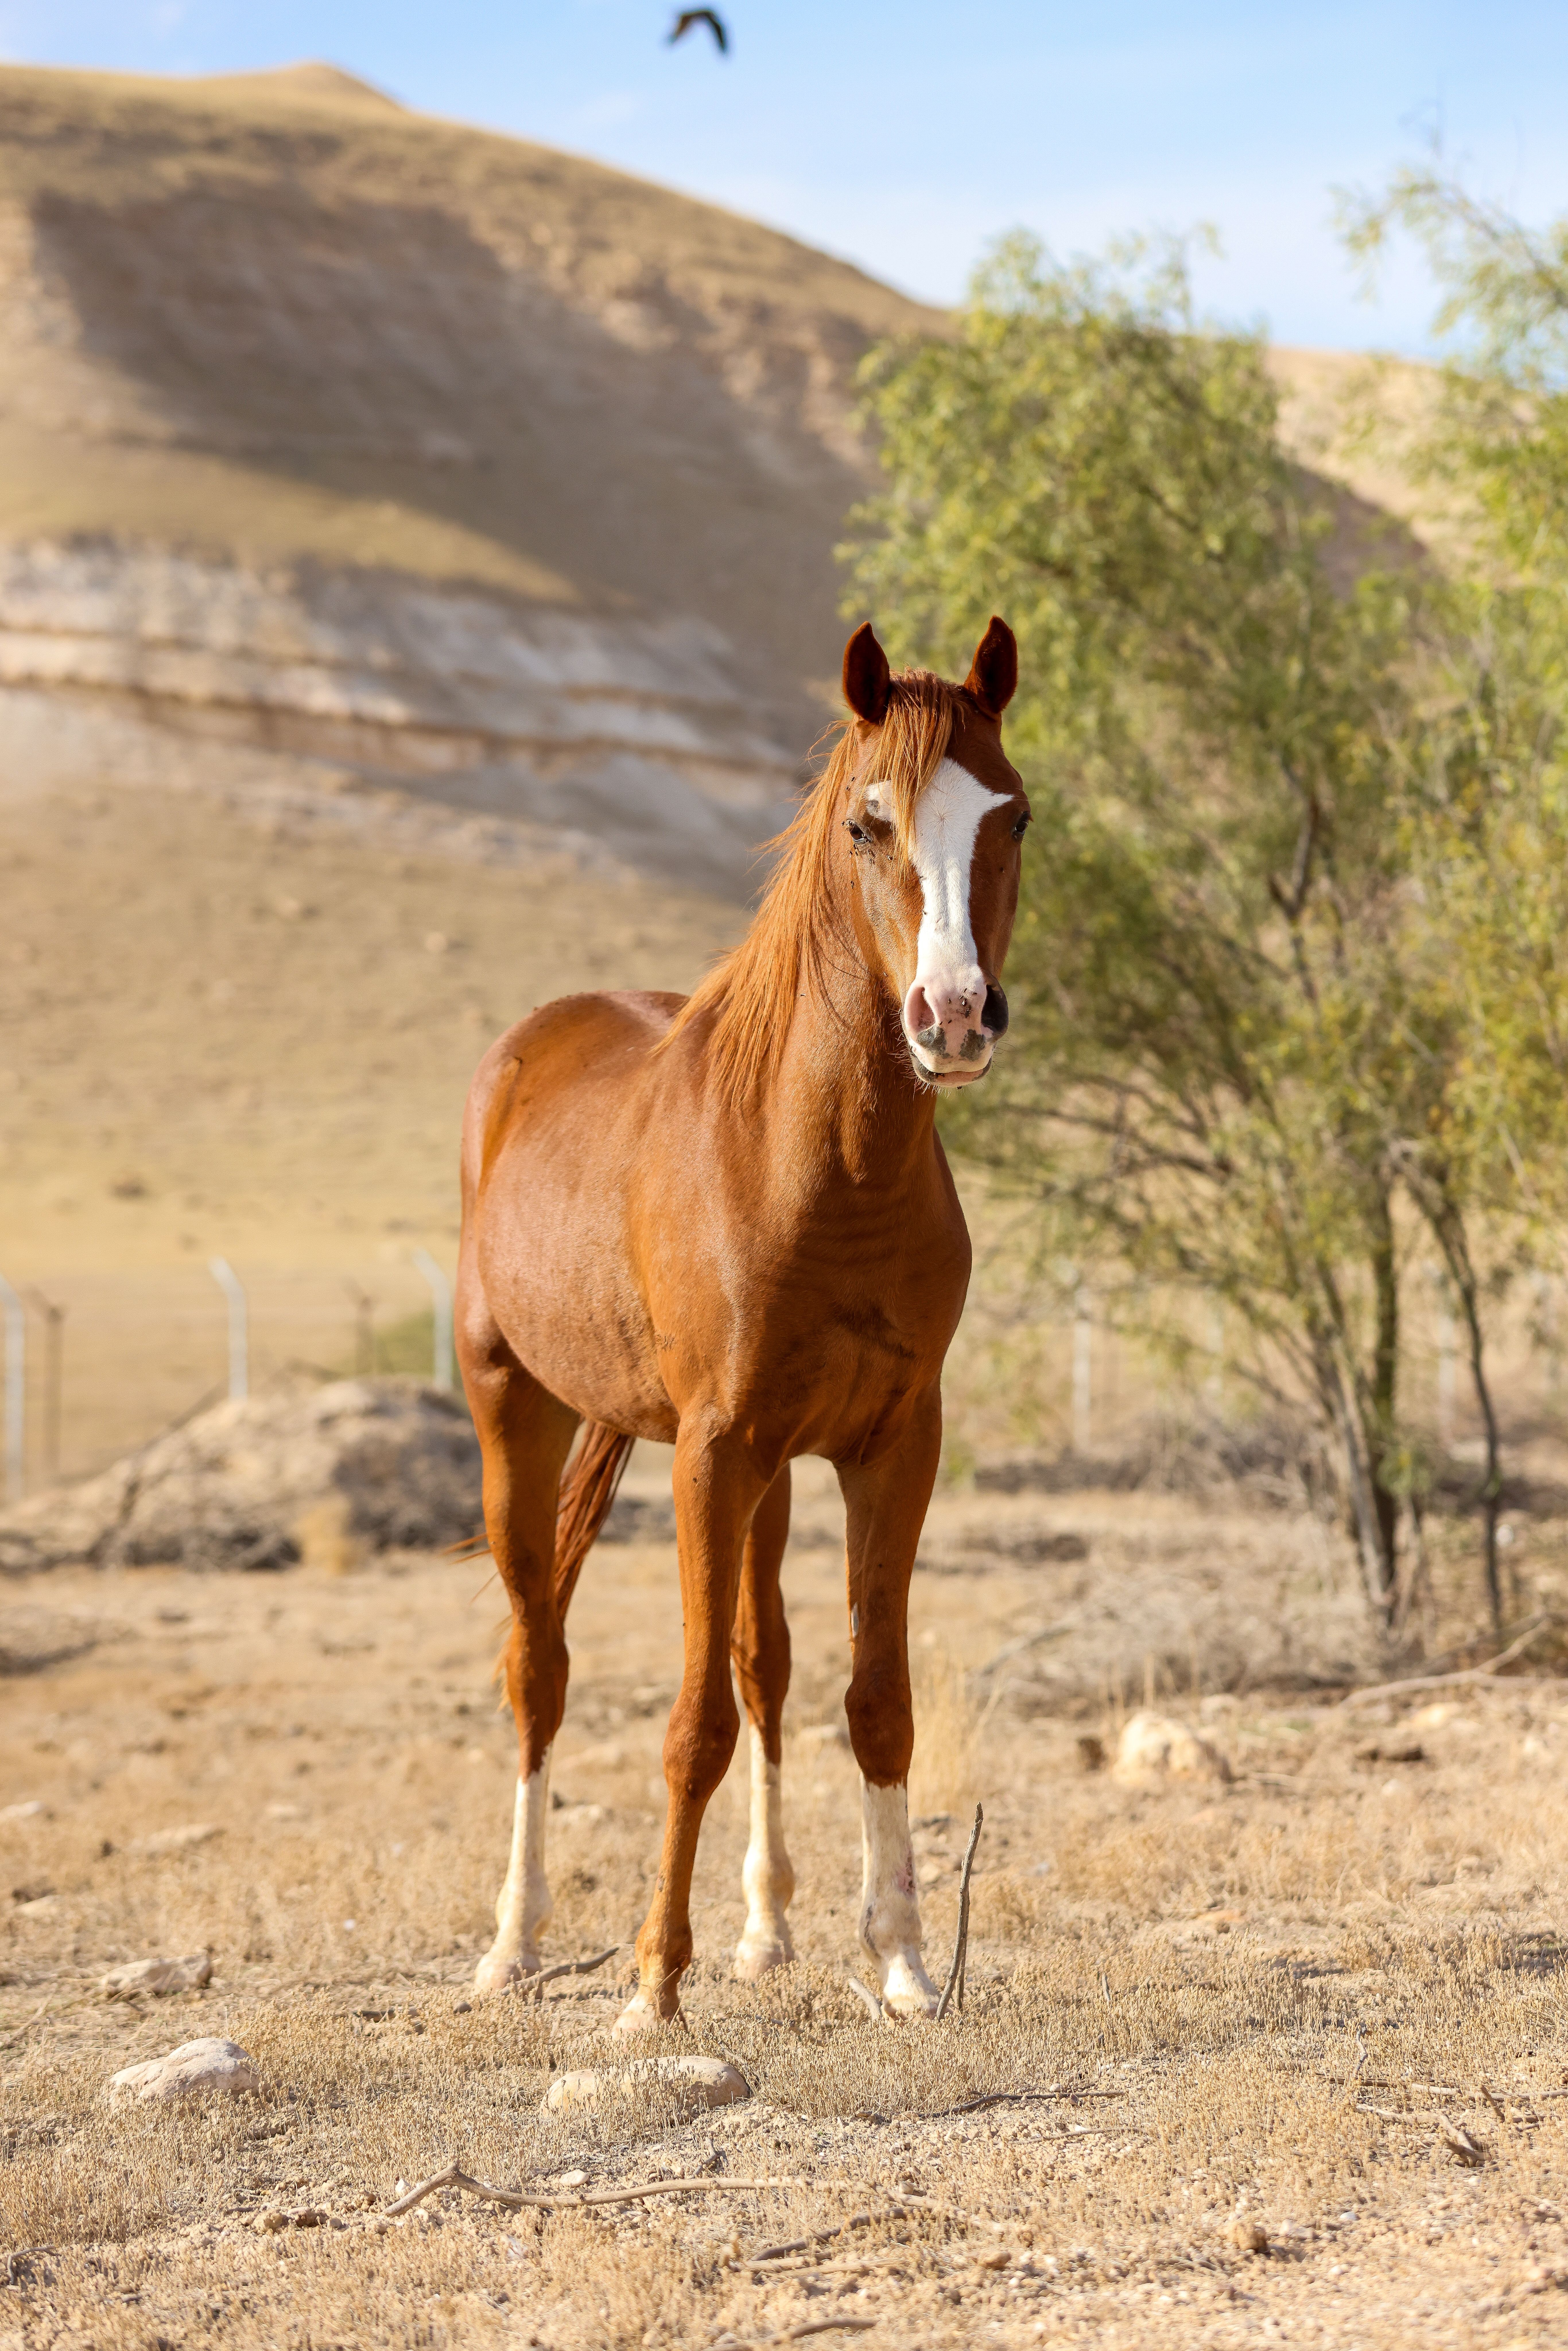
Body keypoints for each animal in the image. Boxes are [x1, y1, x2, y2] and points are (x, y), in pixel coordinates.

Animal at [456, 615, 1028, 2029]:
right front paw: (652, 1986)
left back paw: (766, 1929)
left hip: (768, 1473)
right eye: (868, 824)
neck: (820, 1165)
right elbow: (690, 1727)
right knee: (537, 1666)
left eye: (1014, 816)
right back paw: (513, 1944)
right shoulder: (712, 1455)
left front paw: (902, 1962)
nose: (953, 1017)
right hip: (516, 1414)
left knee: (763, 1661)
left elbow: (870, 1699)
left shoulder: (889, 1445)